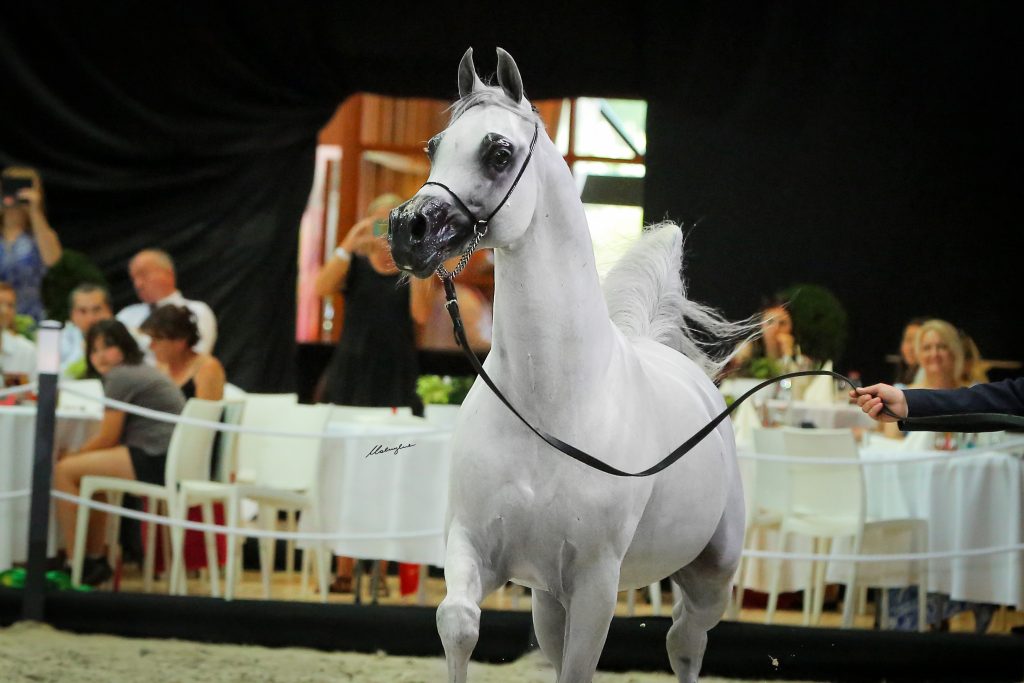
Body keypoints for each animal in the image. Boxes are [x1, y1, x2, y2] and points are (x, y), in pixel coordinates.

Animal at [389, 48, 750, 683]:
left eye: (499, 152)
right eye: (434, 146)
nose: (407, 231)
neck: (551, 405)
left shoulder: (595, 585)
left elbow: (580, 669)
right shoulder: (475, 545)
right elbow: (458, 623)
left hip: (711, 576)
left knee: (685, 640)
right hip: (548, 599)